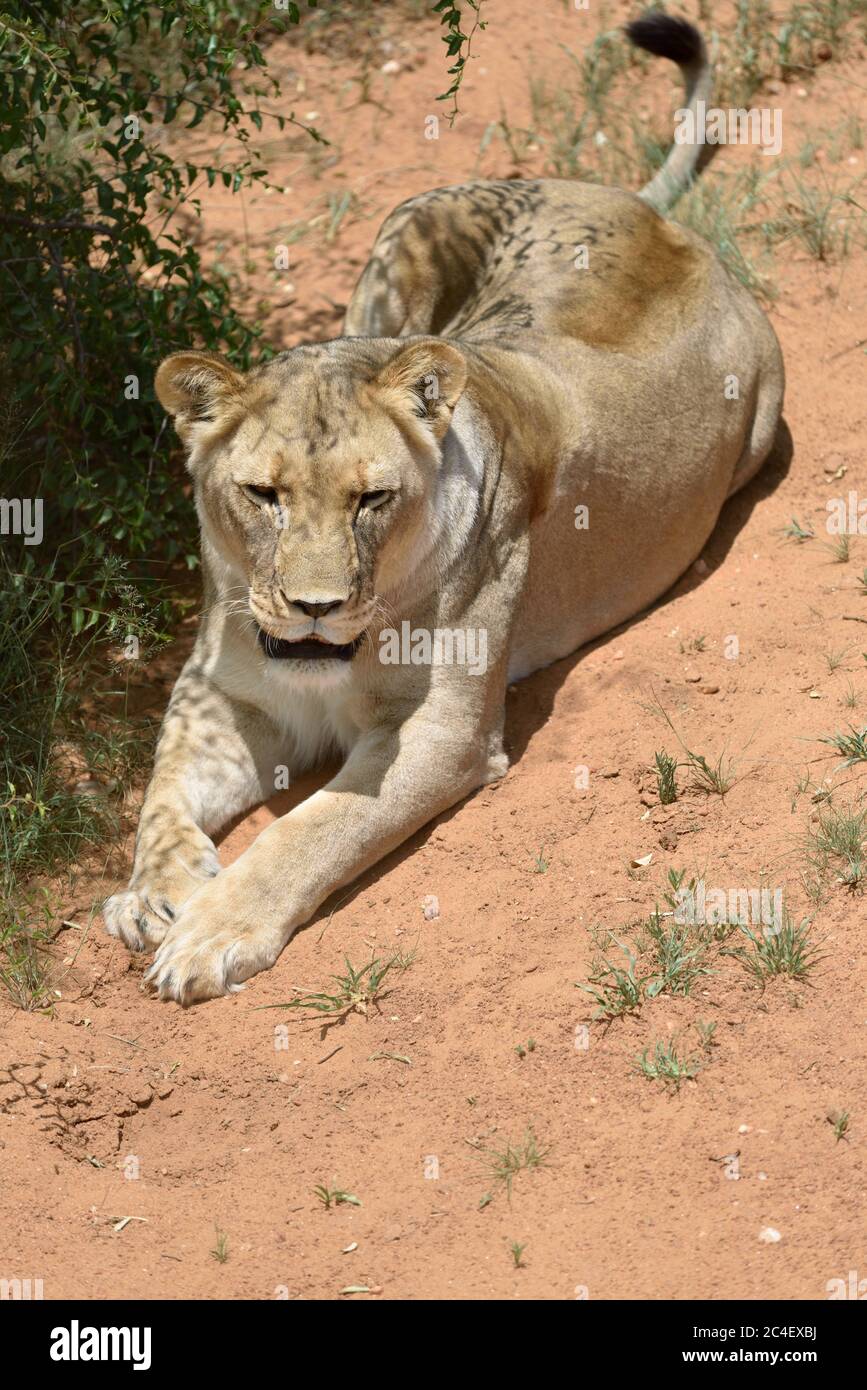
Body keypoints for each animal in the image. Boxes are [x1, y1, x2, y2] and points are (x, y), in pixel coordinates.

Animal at [104, 13, 784, 1003]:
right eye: (262, 494)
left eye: (372, 499)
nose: (313, 609)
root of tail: (645, 209)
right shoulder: (222, 692)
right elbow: (157, 792)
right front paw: (149, 893)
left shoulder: (439, 734)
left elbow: (310, 828)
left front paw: (211, 931)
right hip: (400, 241)